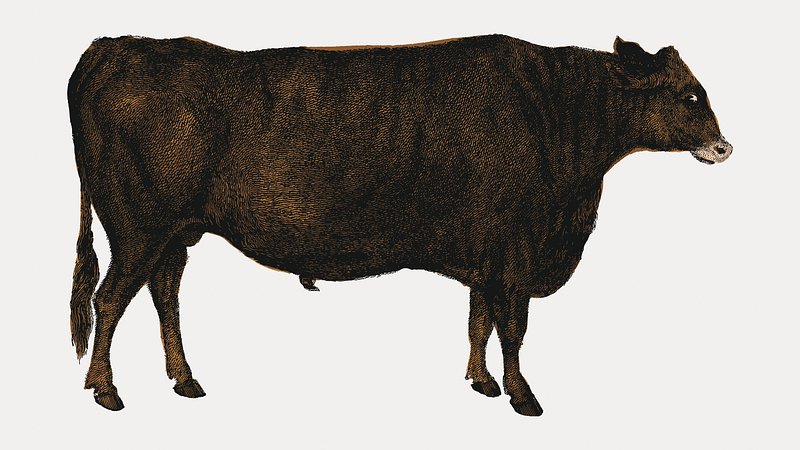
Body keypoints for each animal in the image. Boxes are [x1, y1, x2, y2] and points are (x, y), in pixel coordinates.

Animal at [68, 34, 731, 416]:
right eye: (690, 95)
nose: (724, 146)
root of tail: (116, 44)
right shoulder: (517, 250)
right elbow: (513, 327)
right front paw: (523, 397)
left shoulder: (484, 255)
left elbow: (479, 320)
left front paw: (481, 382)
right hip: (139, 228)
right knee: (110, 298)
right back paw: (106, 390)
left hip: (173, 233)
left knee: (163, 294)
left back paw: (185, 381)